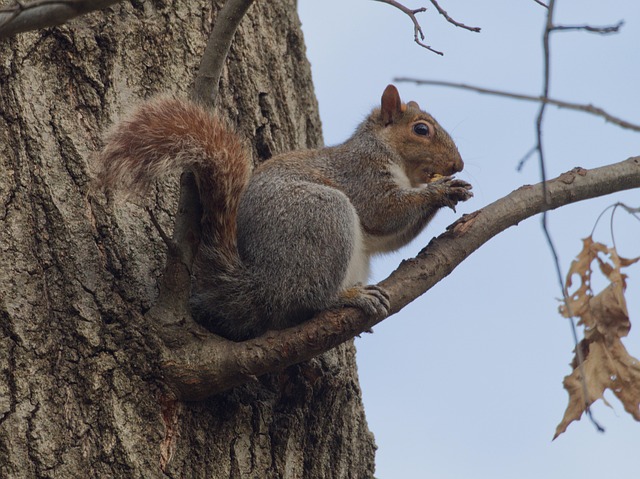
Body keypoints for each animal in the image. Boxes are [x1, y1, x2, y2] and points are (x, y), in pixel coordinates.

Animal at [97, 84, 472, 340]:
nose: (458, 164)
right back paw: (347, 297)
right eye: (421, 130)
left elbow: (388, 238)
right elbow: (384, 212)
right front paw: (441, 190)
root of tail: (259, 285)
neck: (391, 155)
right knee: (307, 300)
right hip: (322, 217)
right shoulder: (360, 174)